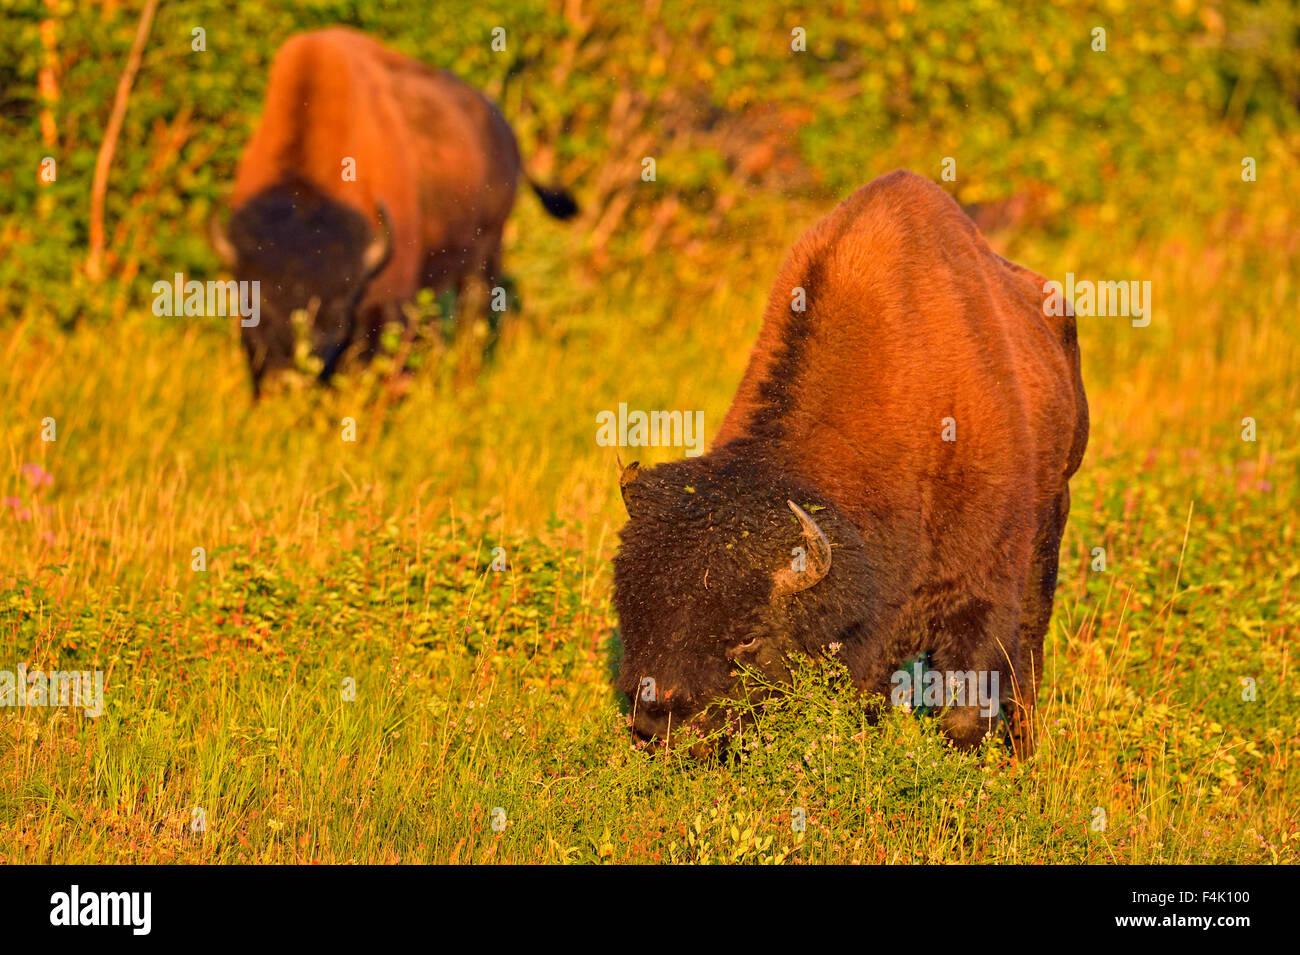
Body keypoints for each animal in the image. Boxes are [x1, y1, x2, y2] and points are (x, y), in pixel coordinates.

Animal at [211, 27, 577, 396]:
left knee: (473, 316)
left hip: (488, 248)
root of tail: (506, 130)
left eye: (337, 311)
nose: (290, 379)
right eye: (254, 304)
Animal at [614, 170, 1088, 755]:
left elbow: (966, 711)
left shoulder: (982, 591)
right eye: (631, 609)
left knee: (1029, 649)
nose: (655, 724)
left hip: (1053, 513)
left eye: (748, 636)